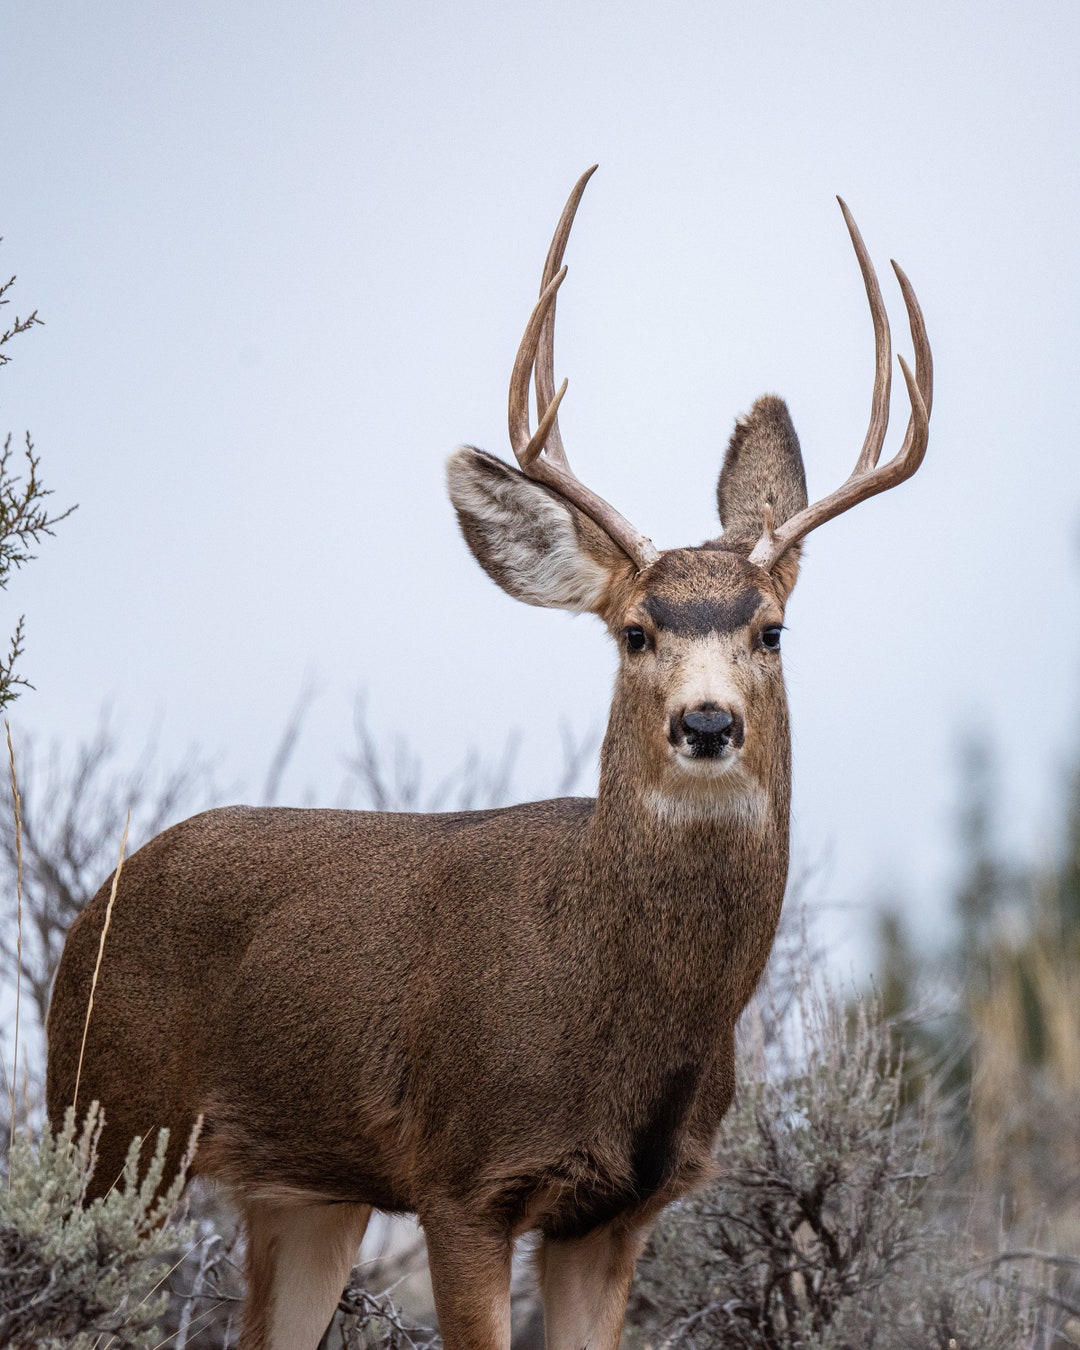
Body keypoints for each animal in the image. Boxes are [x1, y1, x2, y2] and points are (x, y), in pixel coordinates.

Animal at [46, 166, 932, 1350]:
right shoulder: (463, 1173)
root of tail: (91, 905)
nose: (705, 724)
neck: (617, 1003)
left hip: (302, 1191)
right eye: (635, 631)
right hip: (104, 1124)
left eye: (772, 631)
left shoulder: (620, 1210)